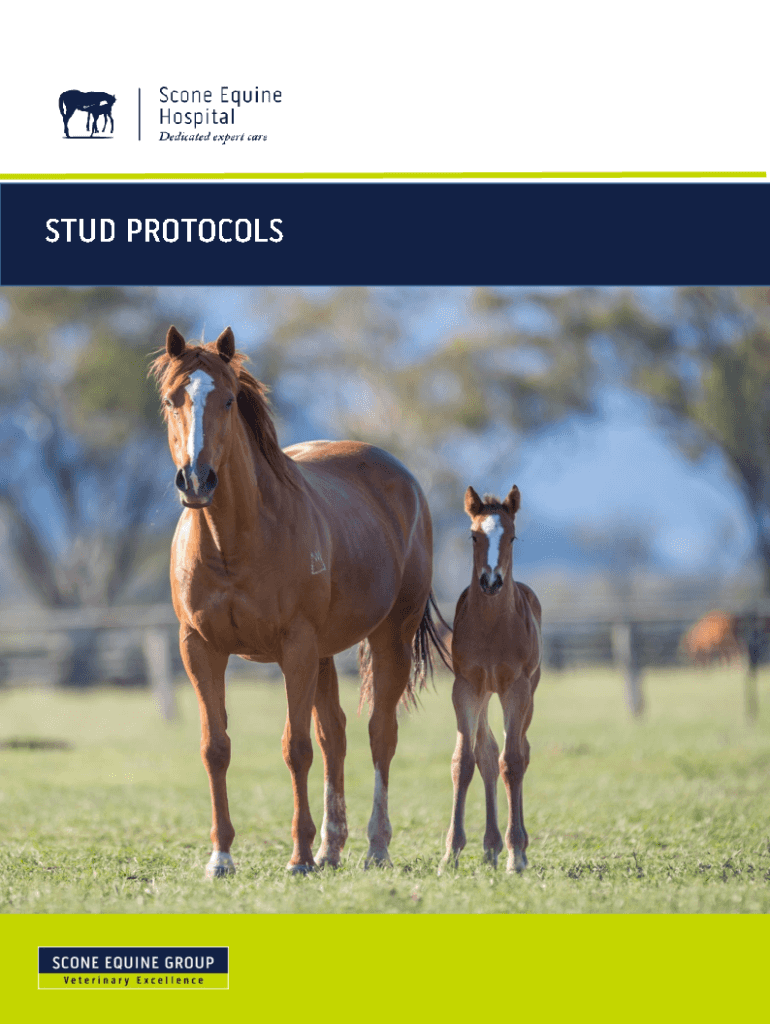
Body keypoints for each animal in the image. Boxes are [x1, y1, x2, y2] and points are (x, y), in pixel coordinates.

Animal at [151, 326, 448, 877]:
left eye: (228, 399)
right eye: (171, 399)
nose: (197, 480)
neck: (233, 542)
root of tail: (404, 479)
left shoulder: (295, 649)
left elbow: (296, 748)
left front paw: (300, 856)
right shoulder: (199, 649)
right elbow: (216, 747)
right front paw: (221, 856)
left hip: (387, 638)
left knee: (380, 733)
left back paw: (374, 846)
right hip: (325, 654)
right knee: (337, 734)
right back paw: (333, 846)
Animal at [440, 485, 541, 874]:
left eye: (512, 536)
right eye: (473, 535)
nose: (491, 581)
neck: (492, 628)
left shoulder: (516, 688)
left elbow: (511, 763)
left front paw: (516, 855)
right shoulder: (466, 687)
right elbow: (464, 761)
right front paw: (450, 853)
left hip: (528, 691)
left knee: (520, 753)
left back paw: (516, 847)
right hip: (485, 693)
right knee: (487, 752)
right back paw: (490, 846)